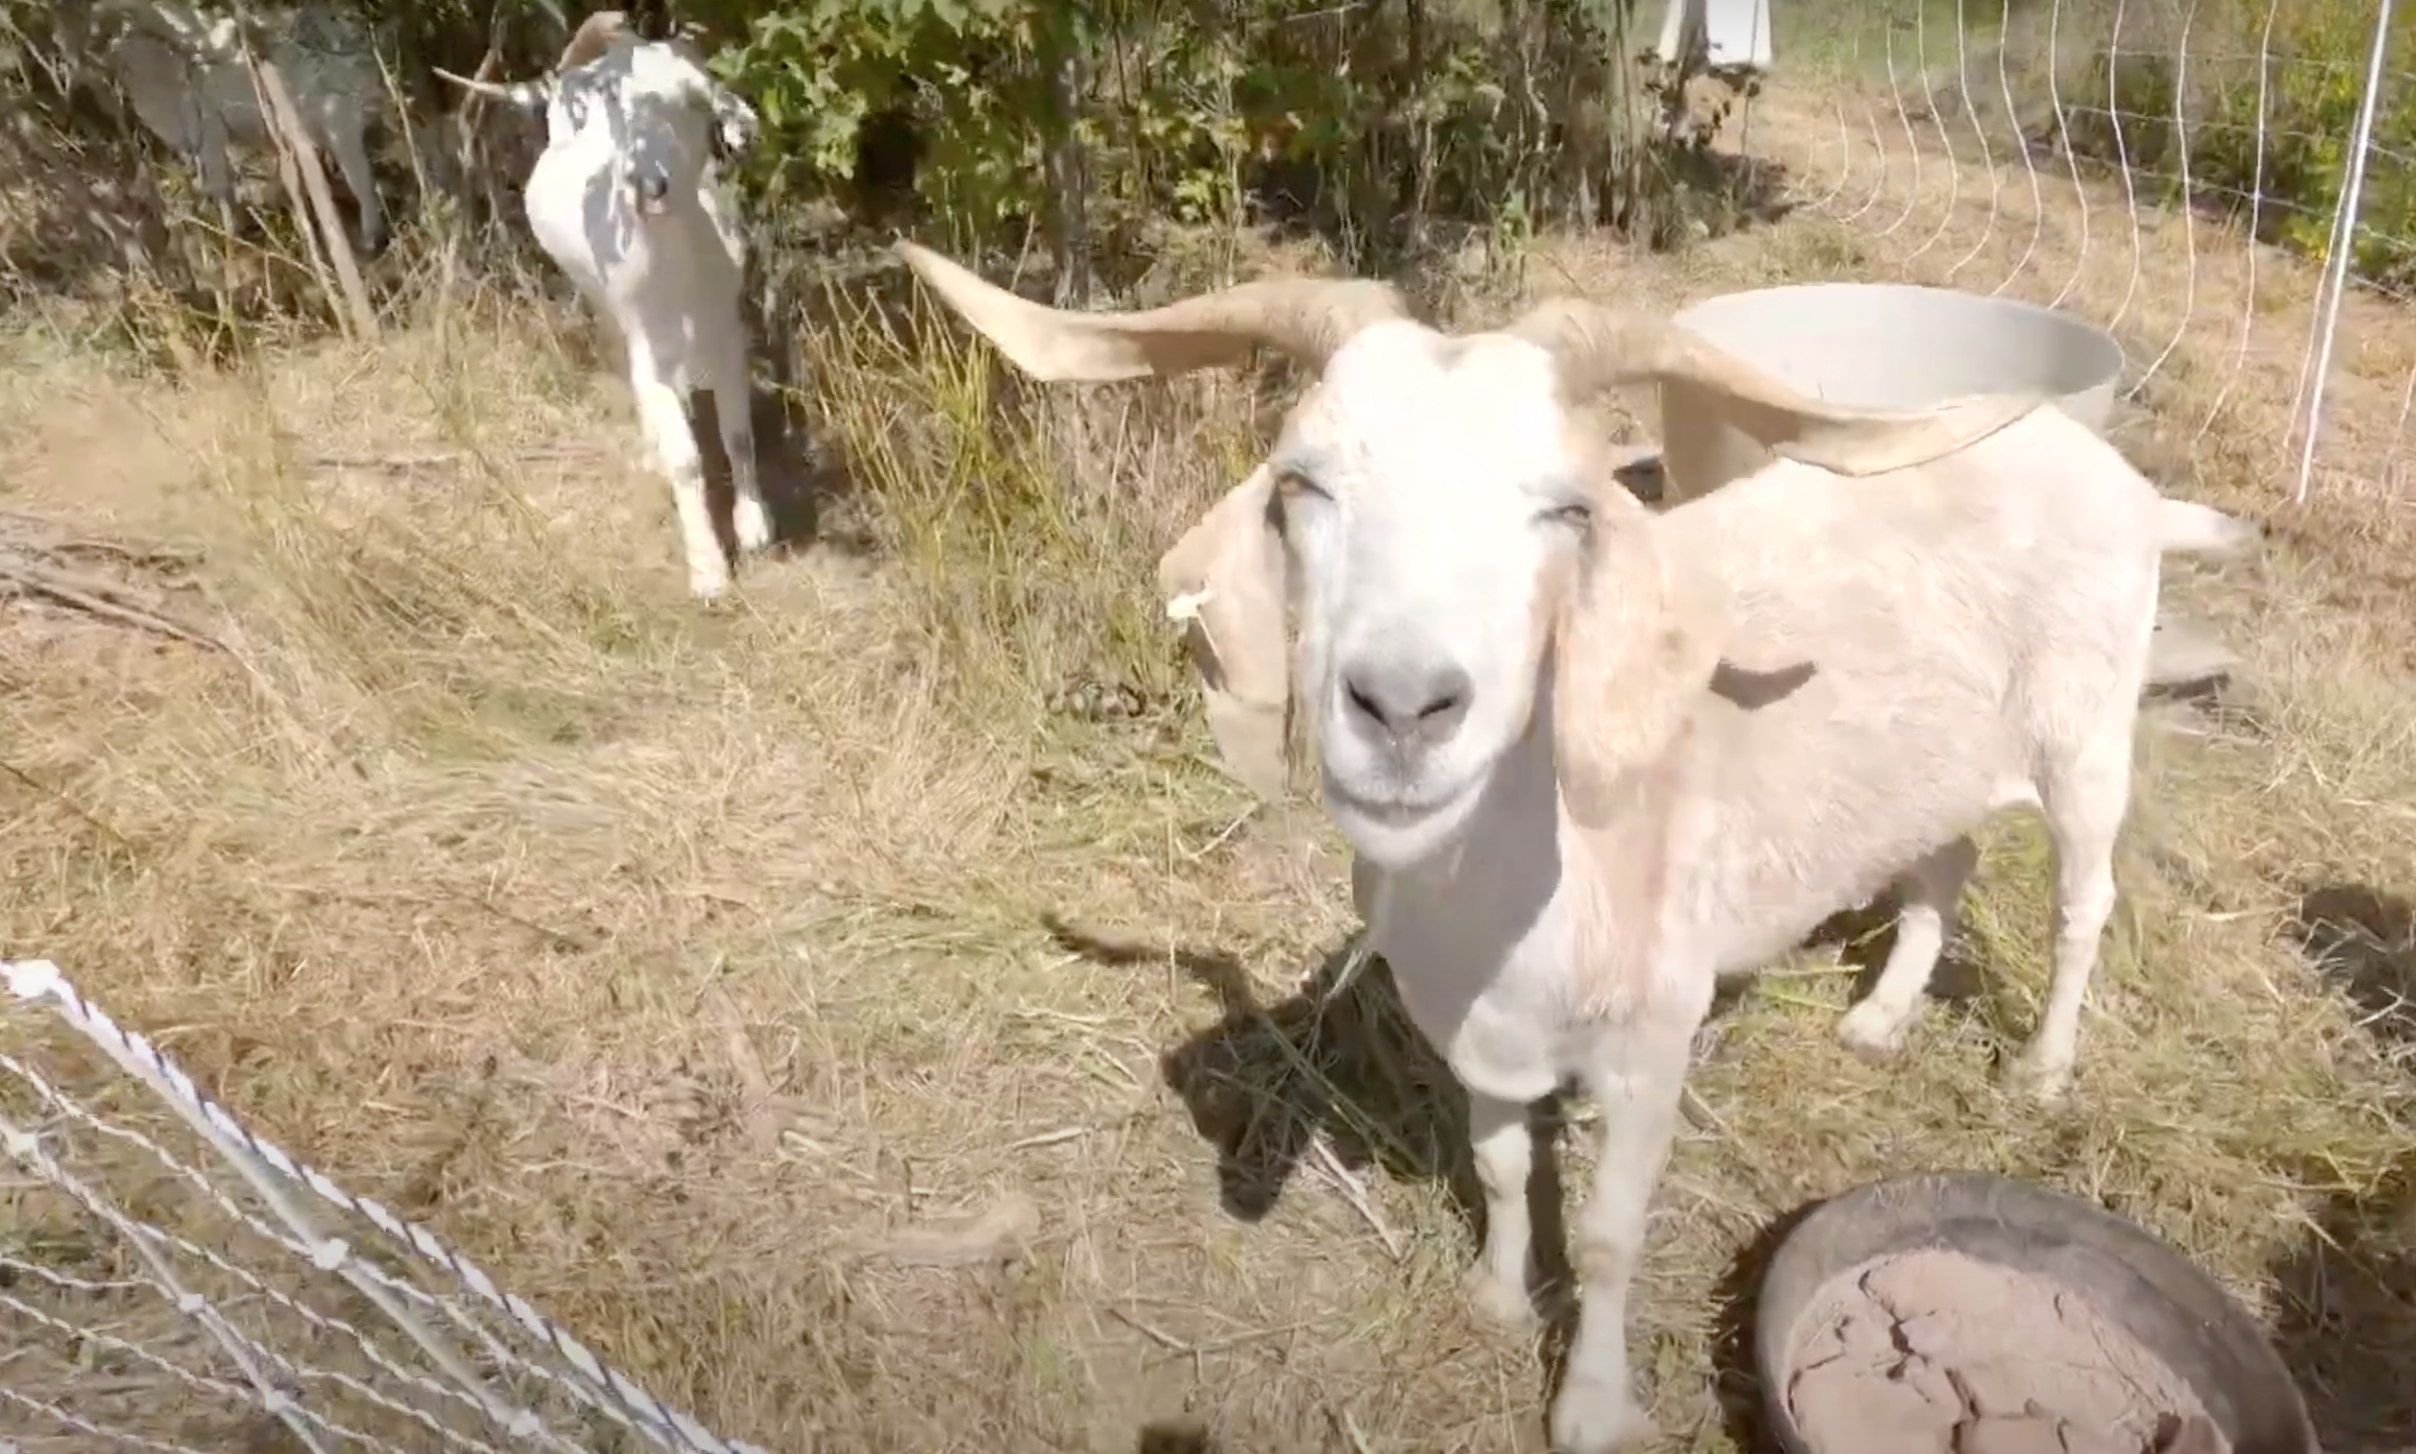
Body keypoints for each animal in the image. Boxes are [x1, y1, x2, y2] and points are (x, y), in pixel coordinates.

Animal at [83, 0, 389, 255]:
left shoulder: (210, 135)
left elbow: (220, 188)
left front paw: (233, 238)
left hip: (341, 128)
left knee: (362, 182)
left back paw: (368, 239)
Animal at [438, 13, 771, 601]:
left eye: (693, 100)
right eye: (620, 112)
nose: (647, 185)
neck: (681, 273)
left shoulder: (727, 332)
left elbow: (738, 433)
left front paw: (753, 526)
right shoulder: (649, 345)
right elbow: (685, 459)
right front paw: (708, 570)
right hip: (600, 299)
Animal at [890, 240, 2254, 1454]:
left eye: (1565, 507)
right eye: (1304, 485)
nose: (1402, 709)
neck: (1502, 904)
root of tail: (2125, 482)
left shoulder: (1653, 1034)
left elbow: (1605, 1233)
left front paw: (1592, 1407)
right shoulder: (1473, 1032)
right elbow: (1499, 1170)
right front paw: (1494, 1296)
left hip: (2087, 732)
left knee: (2084, 895)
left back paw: (2042, 1067)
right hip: (1929, 763)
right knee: (1945, 863)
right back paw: (1877, 1019)